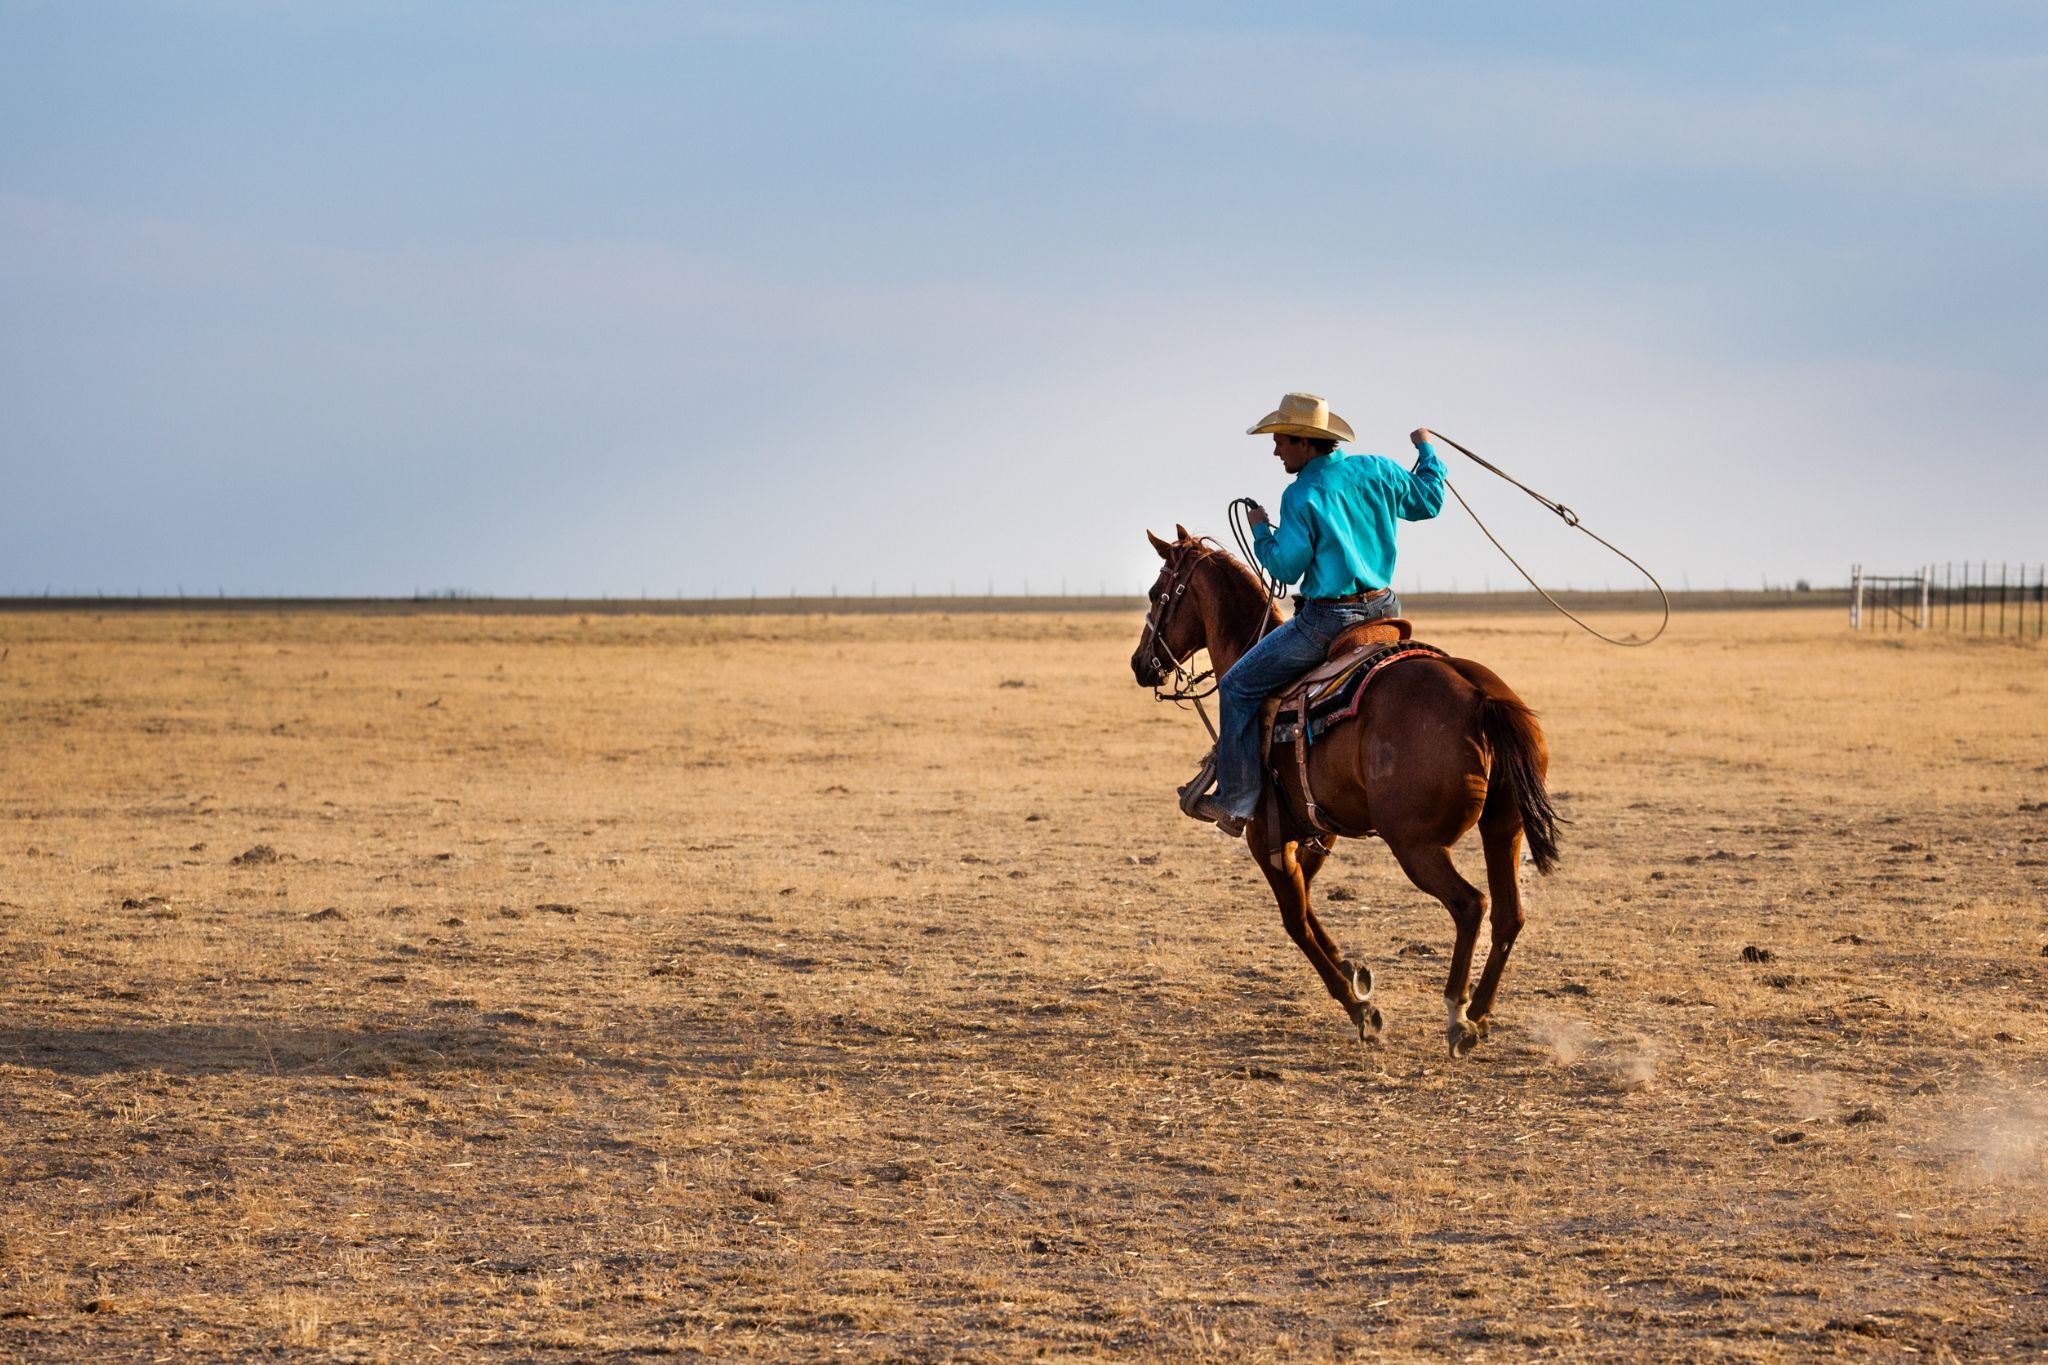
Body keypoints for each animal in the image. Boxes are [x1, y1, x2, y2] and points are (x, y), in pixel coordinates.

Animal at [1130, 526, 1561, 1056]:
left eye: (1157, 594)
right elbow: (1309, 897)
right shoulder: (1318, 828)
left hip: (1416, 846)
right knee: (1508, 914)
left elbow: (1294, 919)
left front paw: (1360, 1008)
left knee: (1470, 905)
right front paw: (1352, 969)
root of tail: (1480, 696)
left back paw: (1457, 1013)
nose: (1140, 664)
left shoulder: (1264, 835)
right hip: (1504, 827)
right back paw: (1479, 1013)